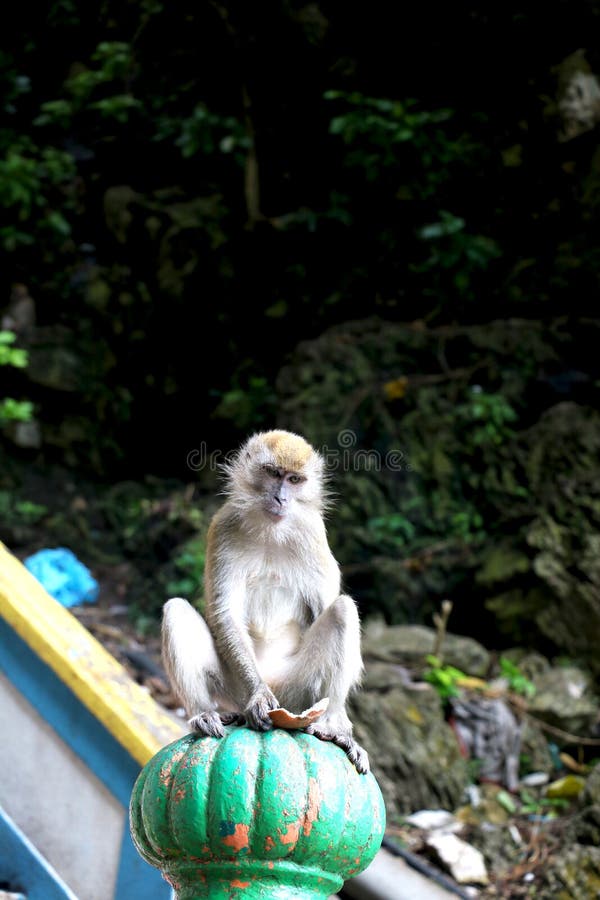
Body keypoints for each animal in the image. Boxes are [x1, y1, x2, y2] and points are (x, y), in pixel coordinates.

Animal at [162, 429, 369, 774]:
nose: (281, 498)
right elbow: (225, 613)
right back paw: (204, 713)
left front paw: (341, 723)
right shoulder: (224, 525)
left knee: (342, 611)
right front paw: (258, 695)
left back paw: (331, 723)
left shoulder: (313, 535)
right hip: (234, 688)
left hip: (296, 688)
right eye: (273, 473)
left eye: (295, 479)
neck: (271, 530)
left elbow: (325, 609)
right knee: (175, 609)